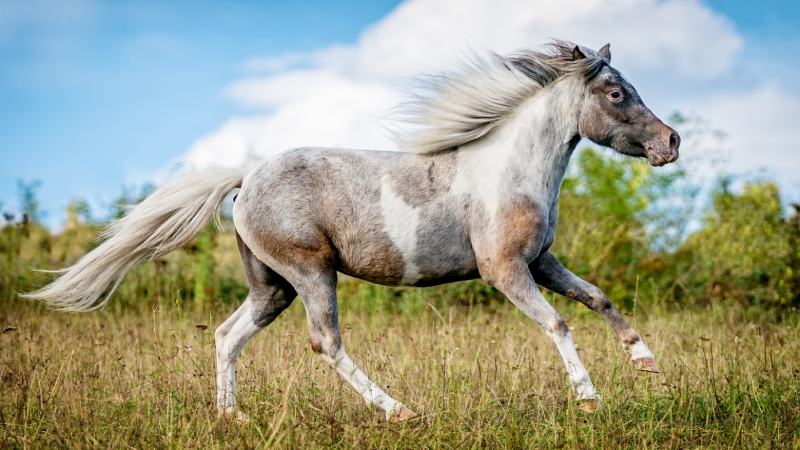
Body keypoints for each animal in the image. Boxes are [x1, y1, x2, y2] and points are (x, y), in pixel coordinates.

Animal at [25, 40, 680, 422]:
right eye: (616, 92)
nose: (670, 143)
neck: (509, 171)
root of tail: (246, 179)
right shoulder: (504, 270)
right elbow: (558, 322)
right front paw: (589, 398)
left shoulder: (542, 261)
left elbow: (599, 297)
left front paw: (647, 363)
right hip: (311, 272)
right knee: (326, 342)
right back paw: (400, 411)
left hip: (271, 286)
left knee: (227, 335)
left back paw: (233, 418)